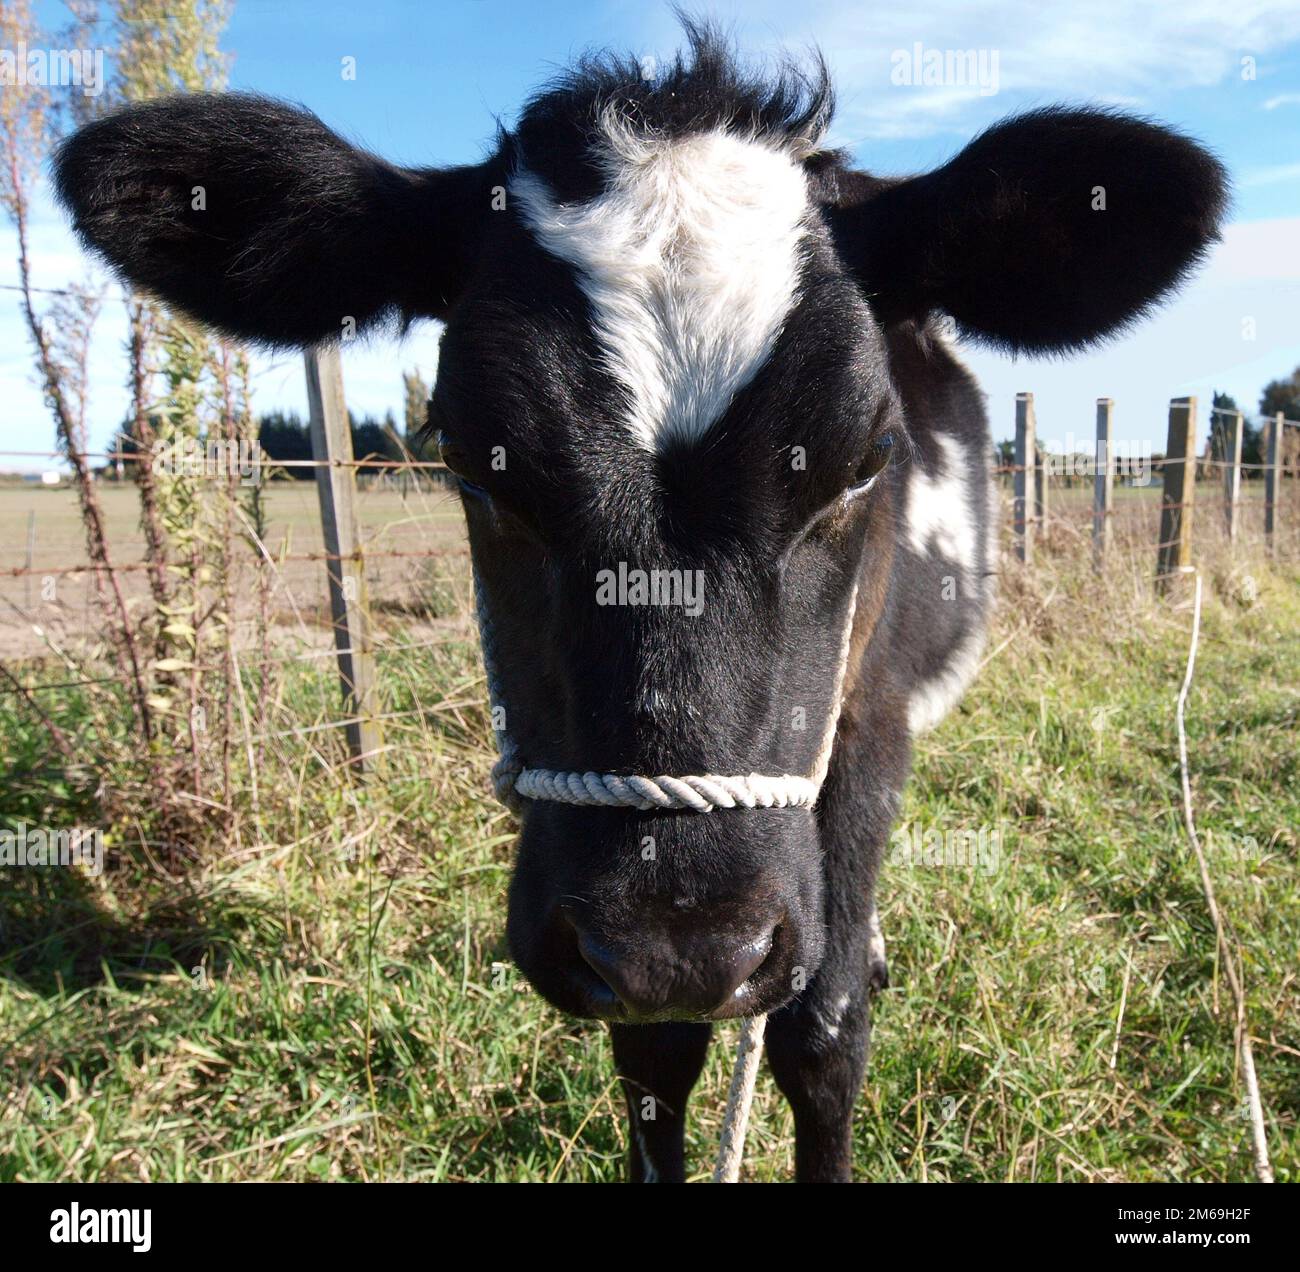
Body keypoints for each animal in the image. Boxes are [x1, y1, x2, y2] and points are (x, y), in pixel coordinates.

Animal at [54, 22, 1226, 1181]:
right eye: (470, 458)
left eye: (865, 459)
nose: (684, 949)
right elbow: (656, 1055)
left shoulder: (871, 728)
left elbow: (823, 1027)